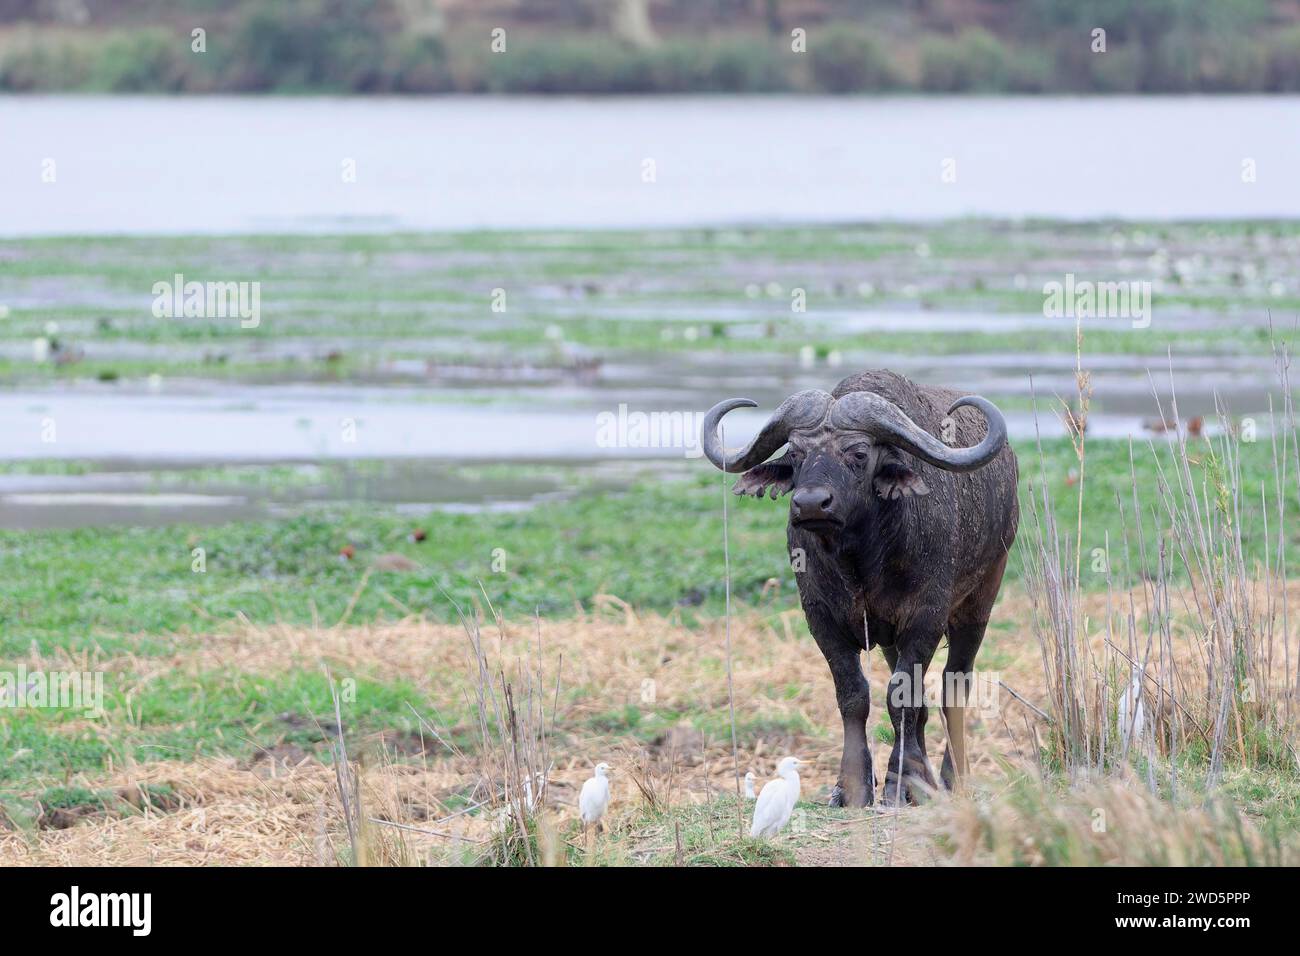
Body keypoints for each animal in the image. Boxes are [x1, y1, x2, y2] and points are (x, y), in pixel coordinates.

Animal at [702, 369, 1018, 806]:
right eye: (796, 452)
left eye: (858, 454)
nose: (811, 503)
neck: (862, 561)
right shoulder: (822, 619)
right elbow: (854, 696)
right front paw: (852, 787)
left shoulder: (924, 619)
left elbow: (903, 698)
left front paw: (898, 785)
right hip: (890, 641)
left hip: (980, 601)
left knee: (955, 687)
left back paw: (953, 778)